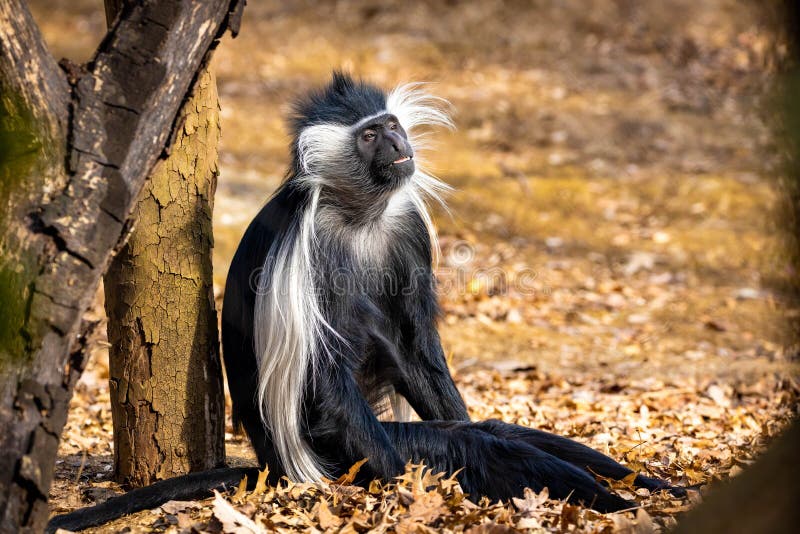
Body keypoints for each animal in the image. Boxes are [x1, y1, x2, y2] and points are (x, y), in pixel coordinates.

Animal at [48, 73, 681, 532]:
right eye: (371, 136)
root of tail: (276, 462)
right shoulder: (309, 246)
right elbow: (327, 381)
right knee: (474, 446)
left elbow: (415, 348)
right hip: (335, 452)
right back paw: (619, 504)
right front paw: (404, 489)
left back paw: (655, 487)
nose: (399, 142)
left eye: (390, 125)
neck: (357, 214)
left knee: (507, 434)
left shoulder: (405, 228)